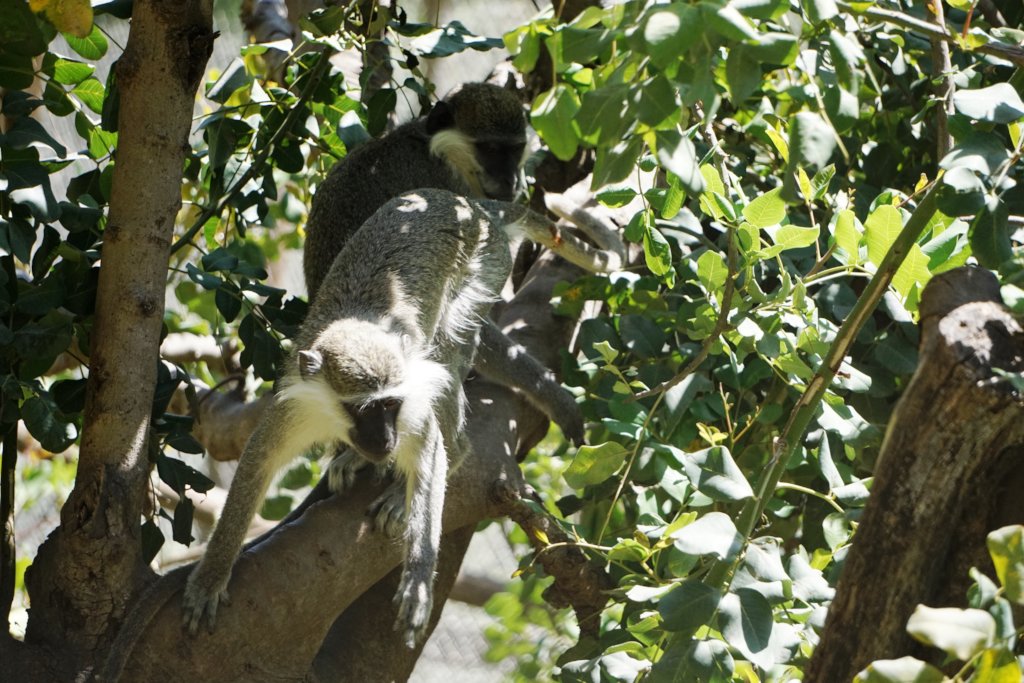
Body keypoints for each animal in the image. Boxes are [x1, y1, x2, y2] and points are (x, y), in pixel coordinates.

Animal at [182, 188, 622, 647]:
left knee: (448, 352)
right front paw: (211, 576)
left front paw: (418, 581)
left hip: (484, 265)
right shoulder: (295, 406)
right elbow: (257, 463)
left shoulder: (410, 403)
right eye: (362, 409)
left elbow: (430, 451)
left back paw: (436, 463)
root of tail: (470, 205)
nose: (383, 441)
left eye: (389, 406)